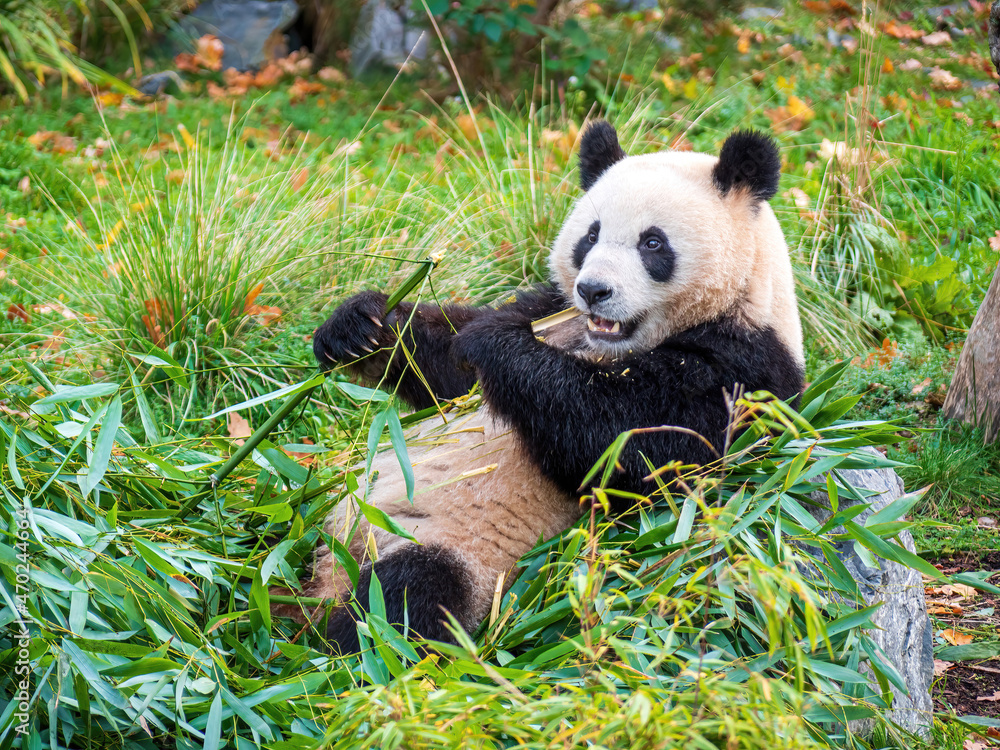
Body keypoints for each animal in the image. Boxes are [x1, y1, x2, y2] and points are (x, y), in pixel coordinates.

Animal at [291, 122, 805, 654]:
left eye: (653, 244)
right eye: (590, 235)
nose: (594, 290)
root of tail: (337, 569)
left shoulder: (742, 371)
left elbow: (626, 444)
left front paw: (492, 341)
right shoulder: (552, 308)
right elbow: (447, 373)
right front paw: (360, 326)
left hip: (457, 549)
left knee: (404, 601)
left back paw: (345, 646)